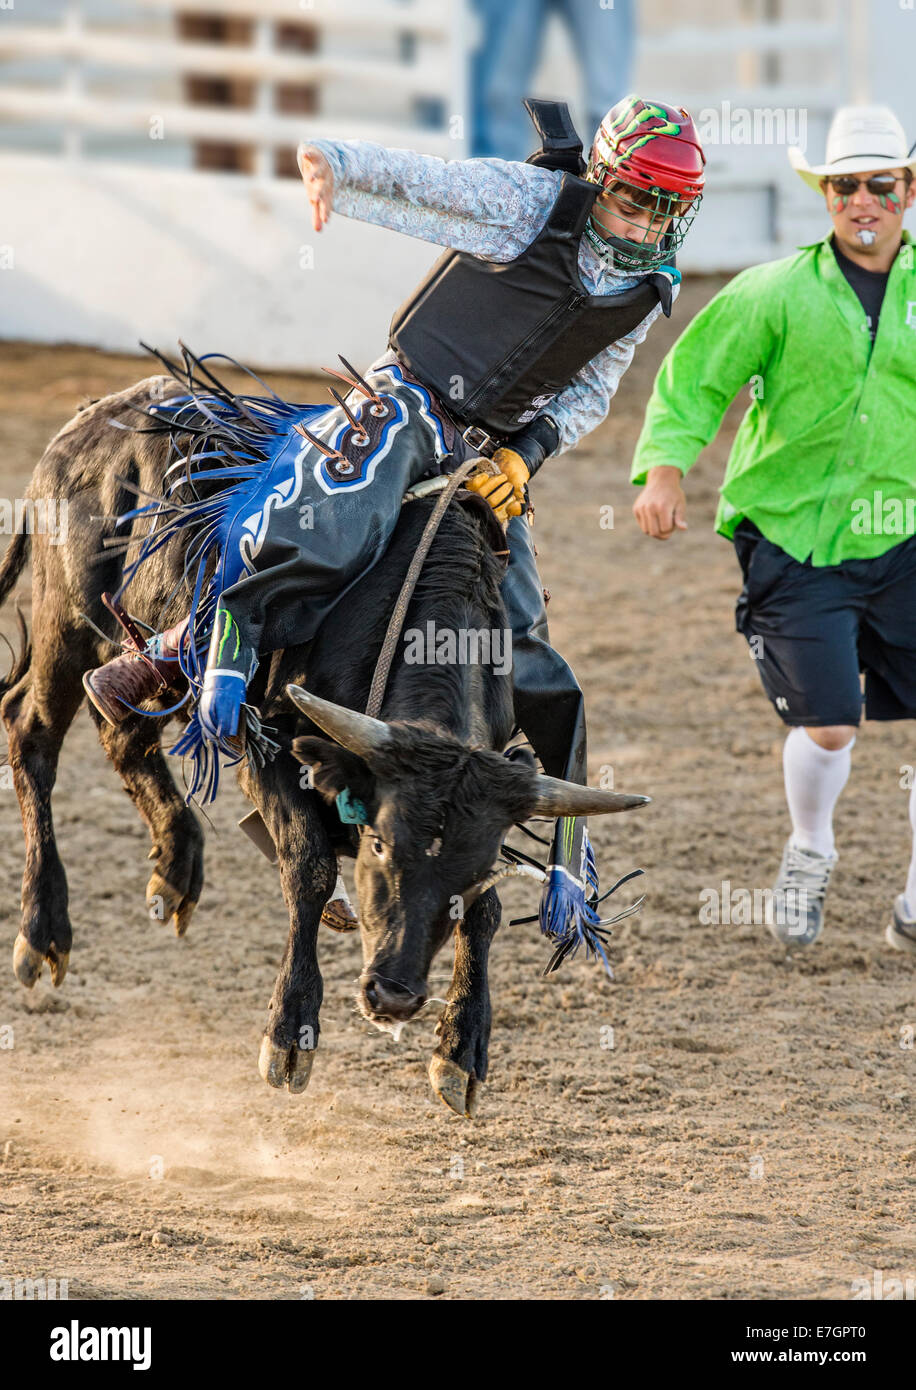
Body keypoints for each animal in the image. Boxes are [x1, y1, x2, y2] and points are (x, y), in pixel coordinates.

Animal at [0, 374, 647, 1116]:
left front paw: (460, 1048)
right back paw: (43, 928)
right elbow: (306, 865)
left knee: (123, 731)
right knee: (31, 732)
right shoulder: (265, 747)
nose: (393, 996)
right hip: (67, 621)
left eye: (473, 868)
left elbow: (484, 913)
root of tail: (91, 418)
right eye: (382, 846)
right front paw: (290, 1033)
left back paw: (175, 867)